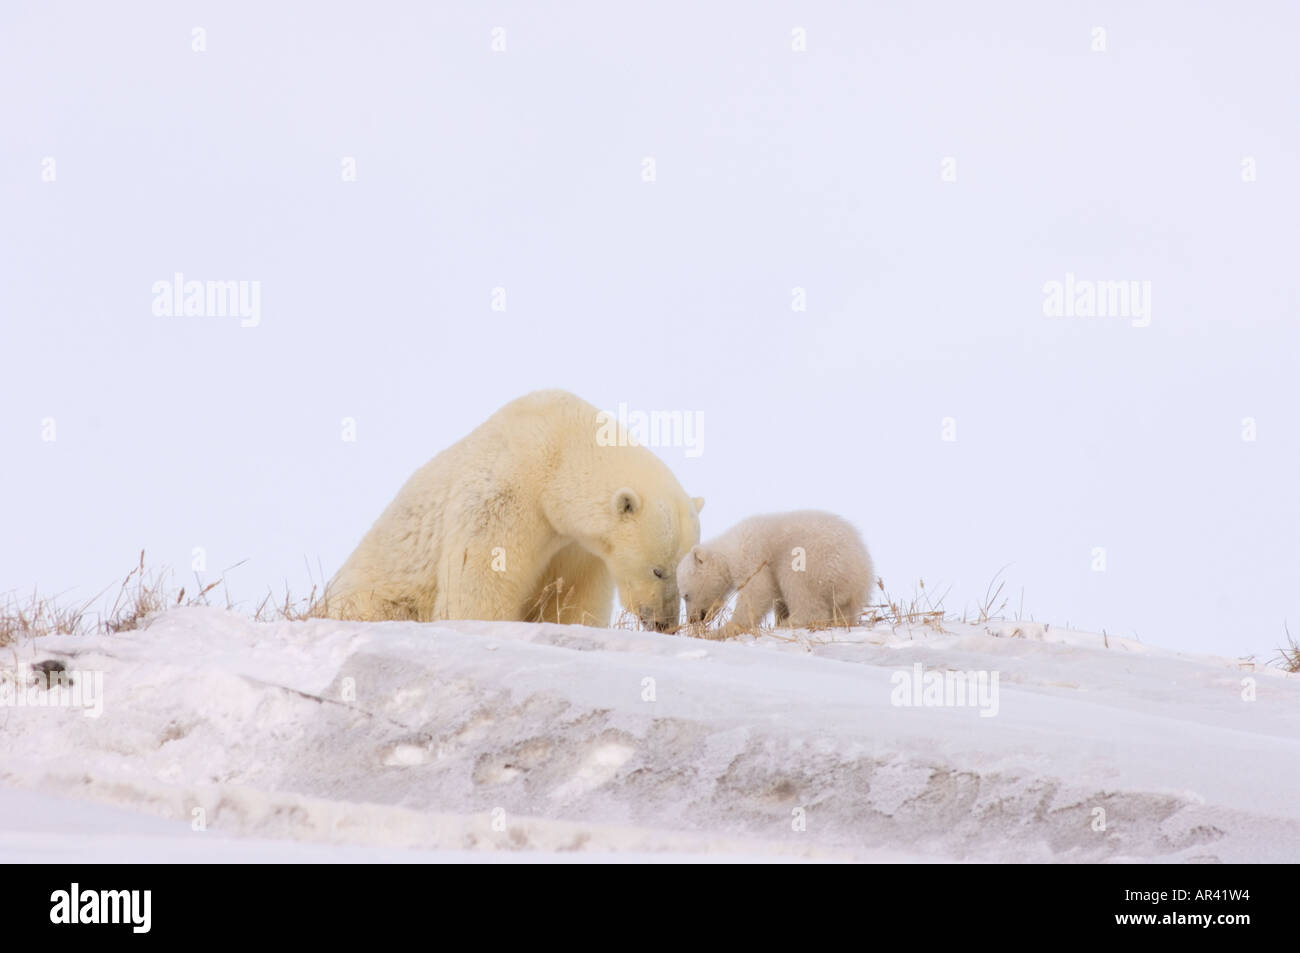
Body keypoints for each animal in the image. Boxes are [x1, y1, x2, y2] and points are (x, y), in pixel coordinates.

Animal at [317, 390, 704, 631]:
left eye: (682, 569)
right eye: (657, 570)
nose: (665, 624)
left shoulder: (577, 547)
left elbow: (572, 597)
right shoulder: (504, 495)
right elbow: (480, 582)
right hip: (377, 596)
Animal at [675, 511, 872, 638]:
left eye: (686, 595)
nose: (693, 619)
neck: (728, 549)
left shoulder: (751, 554)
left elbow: (757, 591)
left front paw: (724, 630)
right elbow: (777, 598)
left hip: (816, 560)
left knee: (798, 585)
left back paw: (790, 623)